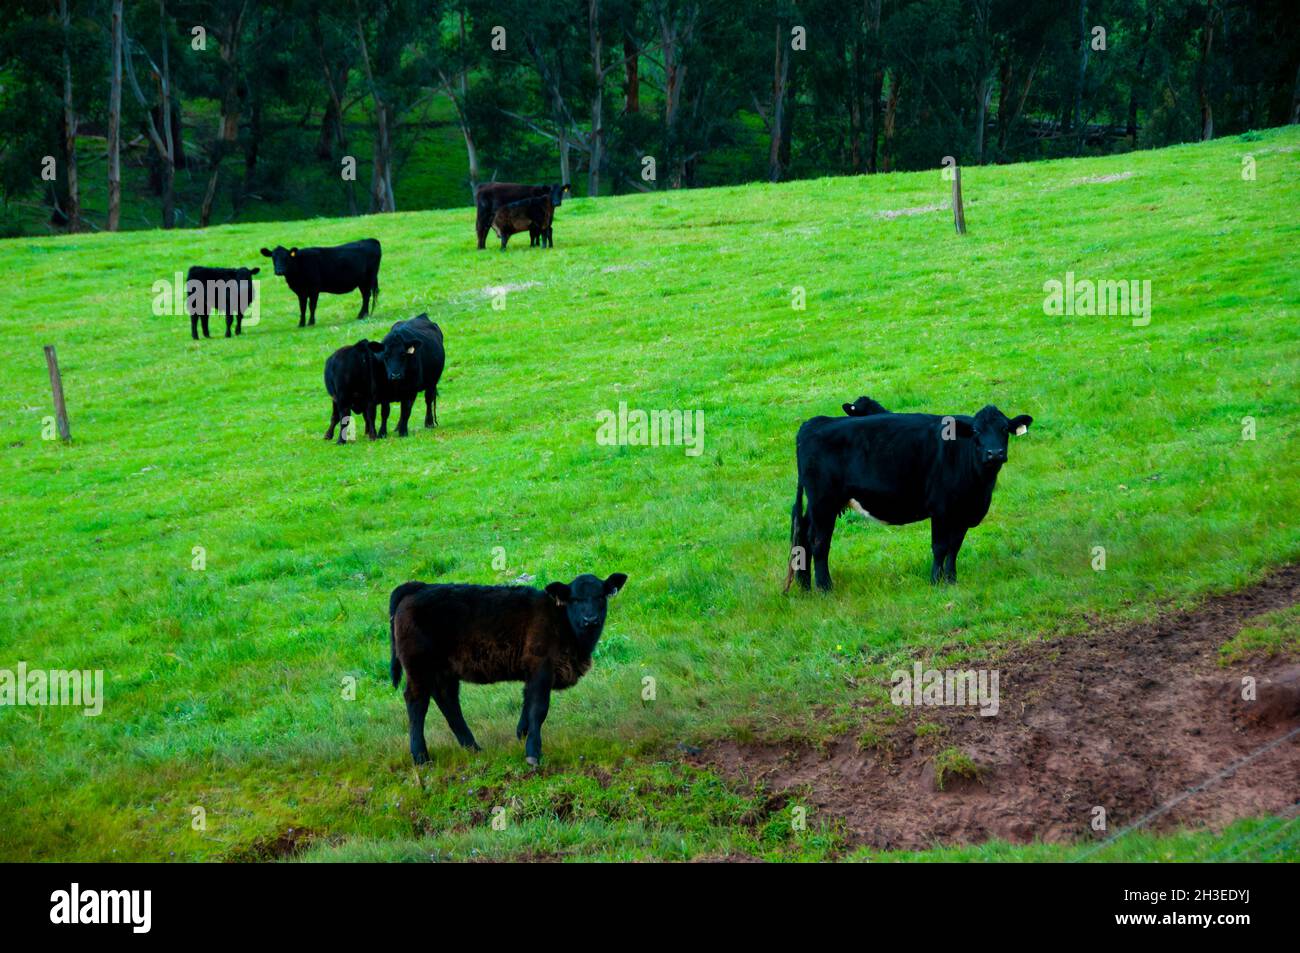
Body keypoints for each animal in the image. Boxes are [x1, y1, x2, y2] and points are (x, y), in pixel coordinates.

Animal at [389, 572, 629, 766]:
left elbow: (527, 703)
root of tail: (418, 586)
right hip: (419, 667)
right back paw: (421, 757)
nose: (590, 619)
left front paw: (522, 735)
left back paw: (473, 747)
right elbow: (539, 709)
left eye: (601, 597)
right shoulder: (541, 668)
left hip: (443, 670)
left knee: (447, 700)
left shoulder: (533, 673)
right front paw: (533, 752)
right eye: (575, 599)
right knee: (417, 703)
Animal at [786, 404, 1033, 592]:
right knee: (819, 542)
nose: (995, 453)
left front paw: (952, 580)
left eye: (1004, 428)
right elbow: (940, 546)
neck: (979, 487)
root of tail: (814, 422)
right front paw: (936, 581)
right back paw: (824, 588)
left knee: (804, 536)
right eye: (976, 431)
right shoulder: (941, 509)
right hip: (823, 502)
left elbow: (955, 546)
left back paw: (805, 587)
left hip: (820, 505)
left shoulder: (962, 512)